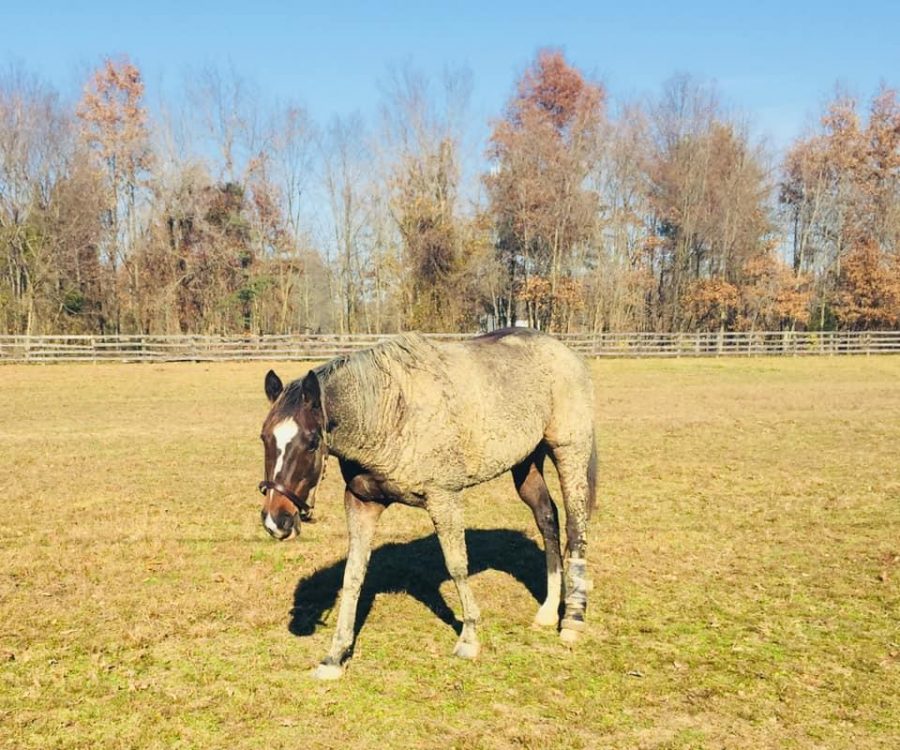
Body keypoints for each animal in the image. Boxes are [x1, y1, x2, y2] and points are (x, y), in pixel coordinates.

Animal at [257, 327, 597, 680]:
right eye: (264, 437)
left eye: (311, 442)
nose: (276, 520)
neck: (389, 412)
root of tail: (566, 353)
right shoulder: (361, 503)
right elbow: (352, 576)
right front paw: (335, 655)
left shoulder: (443, 499)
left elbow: (457, 566)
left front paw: (469, 638)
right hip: (526, 464)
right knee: (547, 518)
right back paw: (548, 610)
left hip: (569, 451)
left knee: (575, 528)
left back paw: (572, 619)